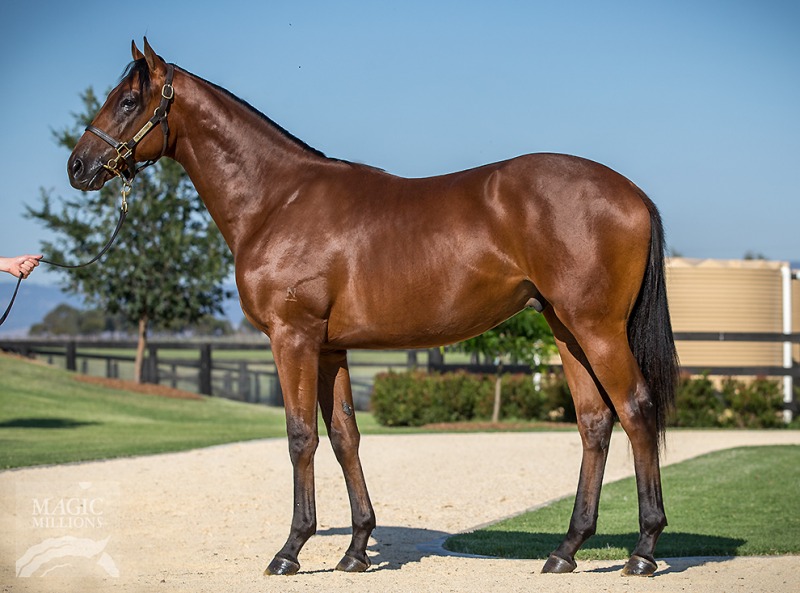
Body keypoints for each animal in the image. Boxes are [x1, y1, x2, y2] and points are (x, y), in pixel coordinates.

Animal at [68, 39, 679, 577]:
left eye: (129, 100)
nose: (78, 166)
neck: (276, 200)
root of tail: (632, 193)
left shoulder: (292, 338)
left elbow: (301, 437)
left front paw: (290, 550)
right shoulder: (329, 347)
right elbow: (345, 437)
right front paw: (357, 549)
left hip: (597, 329)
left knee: (636, 410)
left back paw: (643, 551)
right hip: (564, 328)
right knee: (595, 422)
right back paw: (566, 550)